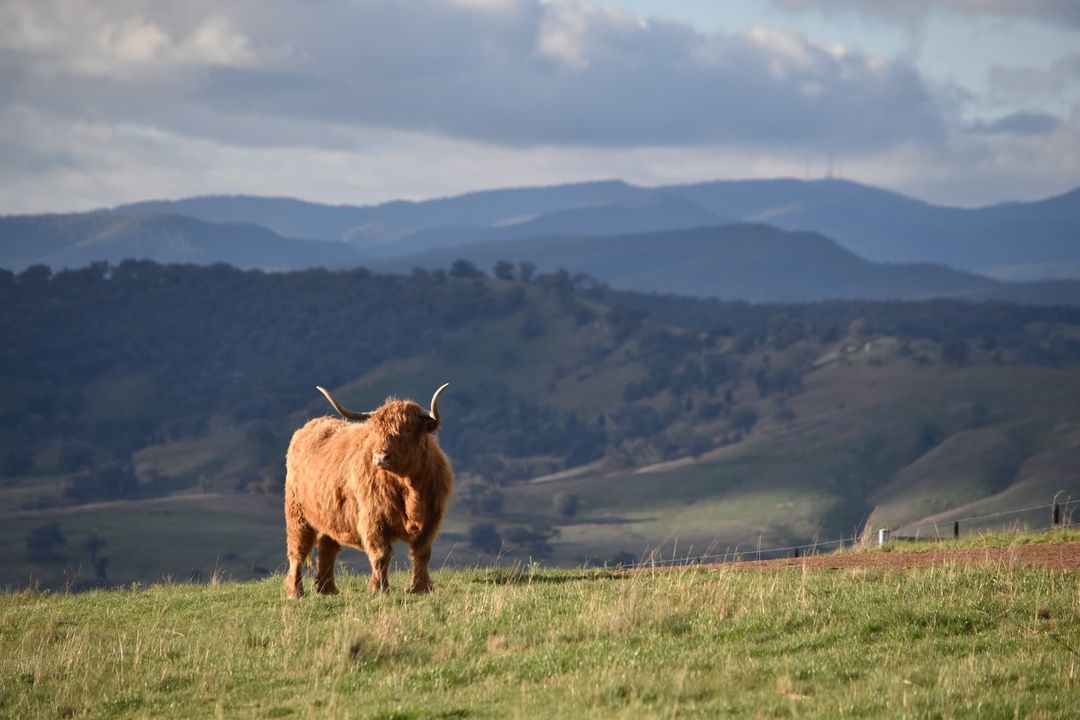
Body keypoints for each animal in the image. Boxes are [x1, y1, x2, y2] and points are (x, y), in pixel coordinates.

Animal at [283, 383, 454, 597]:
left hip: (330, 515)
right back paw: (295, 592)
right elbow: (381, 555)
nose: (381, 457)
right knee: (297, 550)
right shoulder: (373, 519)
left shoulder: (431, 520)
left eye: (406, 429)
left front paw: (420, 588)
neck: (409, 486)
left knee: (326, 549)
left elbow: (422, 554)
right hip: (297, 513)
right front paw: (379, 589)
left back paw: (328, 589)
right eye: (376, 431)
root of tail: (309, 426)